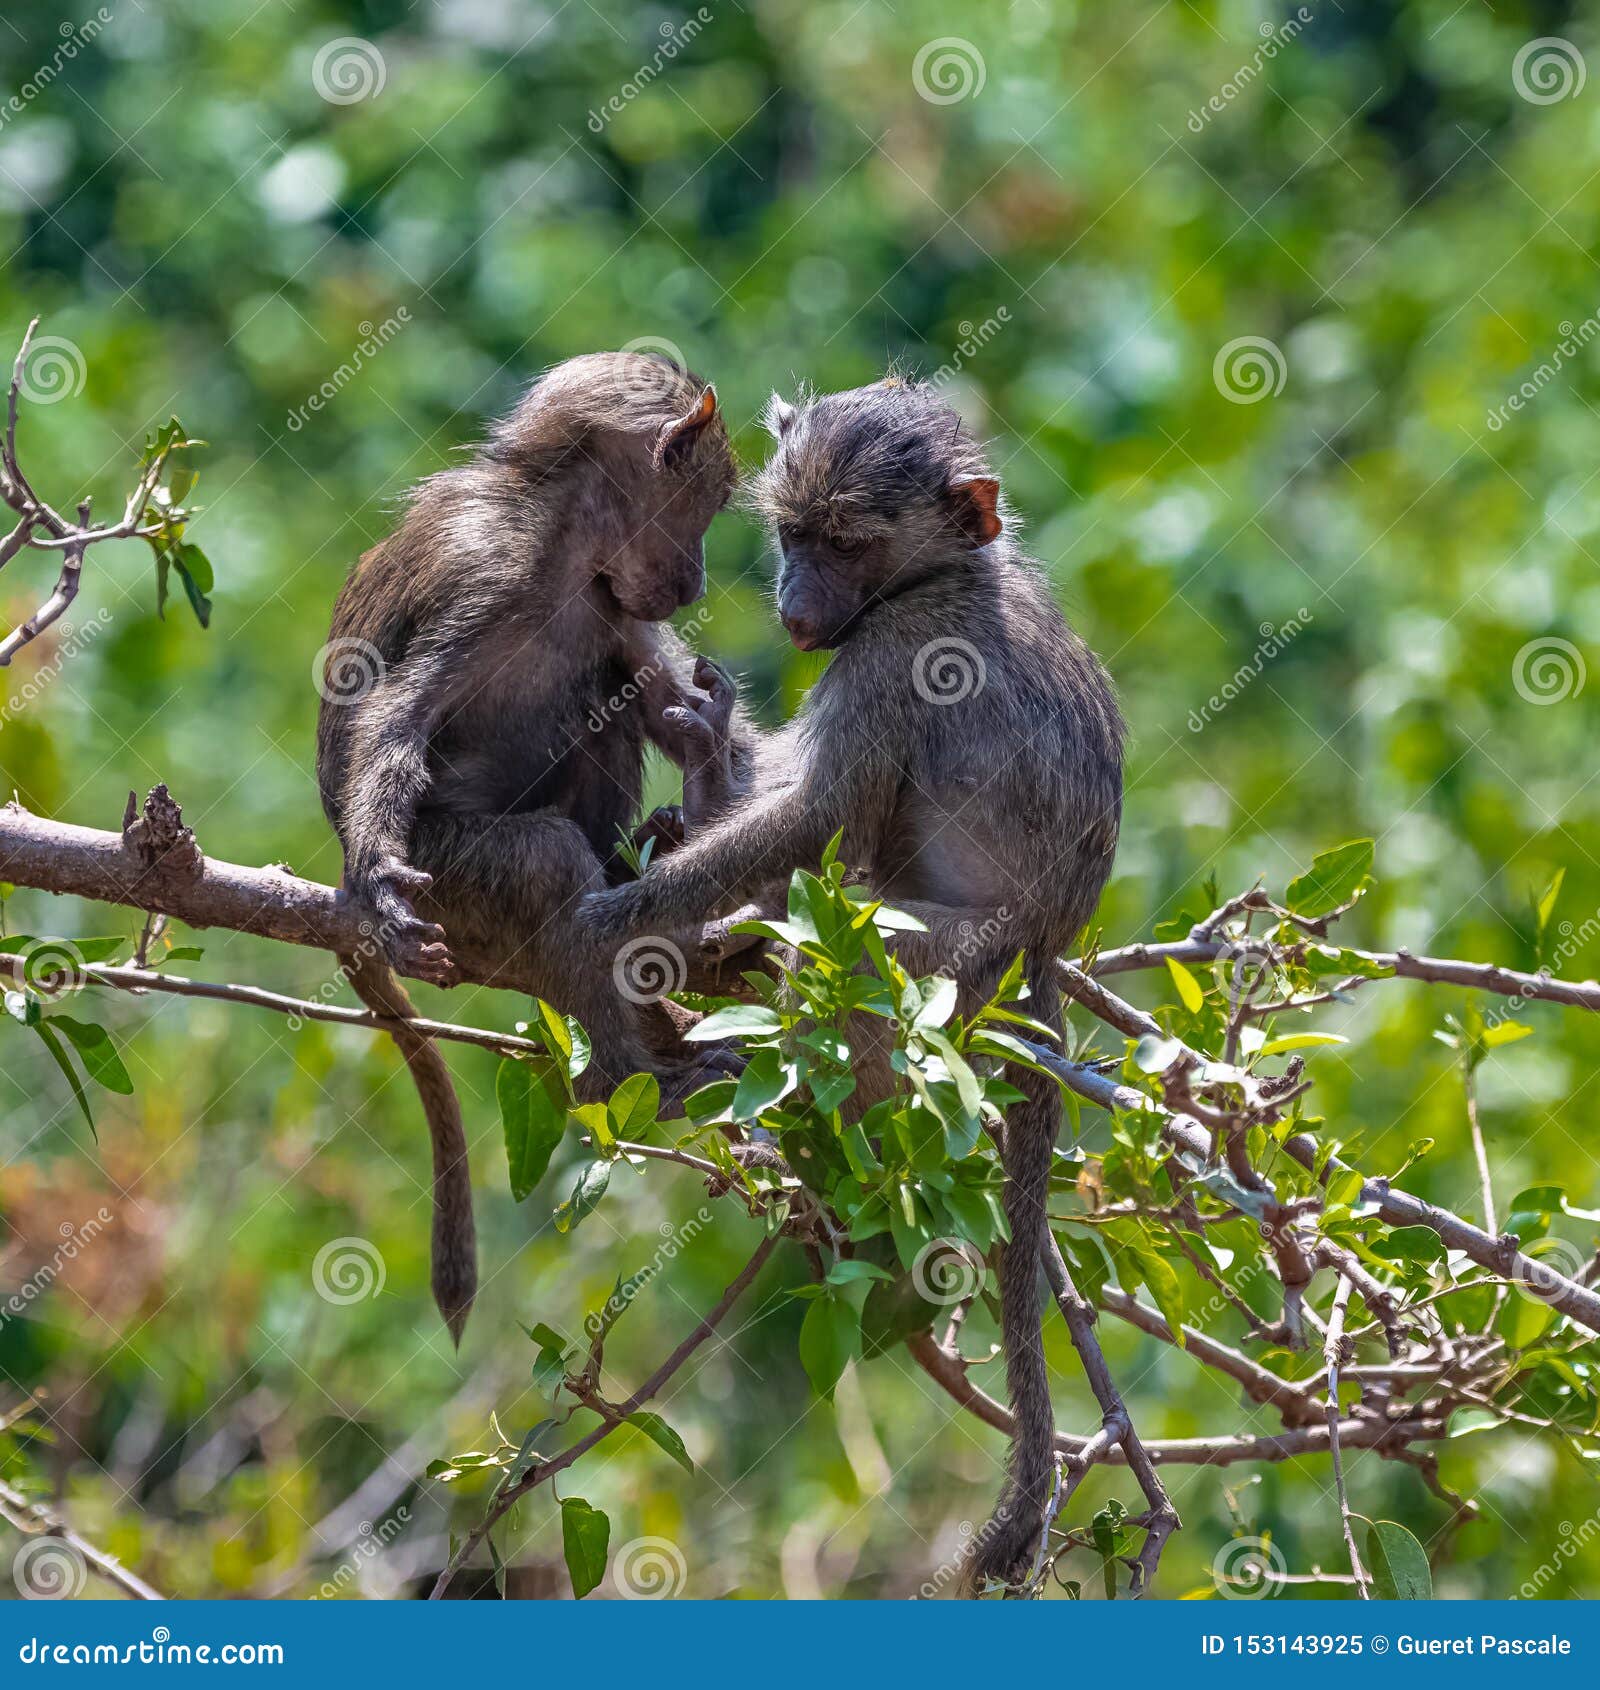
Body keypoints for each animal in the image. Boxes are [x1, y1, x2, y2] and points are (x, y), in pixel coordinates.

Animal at [315, 351, 751, 1344]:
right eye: (705, 508)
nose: (696, 584)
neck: (558, 540)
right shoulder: (488, 581)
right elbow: (396, 717)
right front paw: (379, 876)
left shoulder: (612, 600)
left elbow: (665, 702)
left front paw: (710, 758)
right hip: (457, 891)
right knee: (550, 863)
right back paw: (632, 1079)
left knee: (607, 708)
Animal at [579, 378, 1124, 1592]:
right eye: (791, 535)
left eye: (846, 543)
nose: (793, 609)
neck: (941, 574)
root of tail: (1044, 948)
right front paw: (703, 764)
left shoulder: (895, 652)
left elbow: (823, 817)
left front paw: (621, 916)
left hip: (950, 966)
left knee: (842, 949)